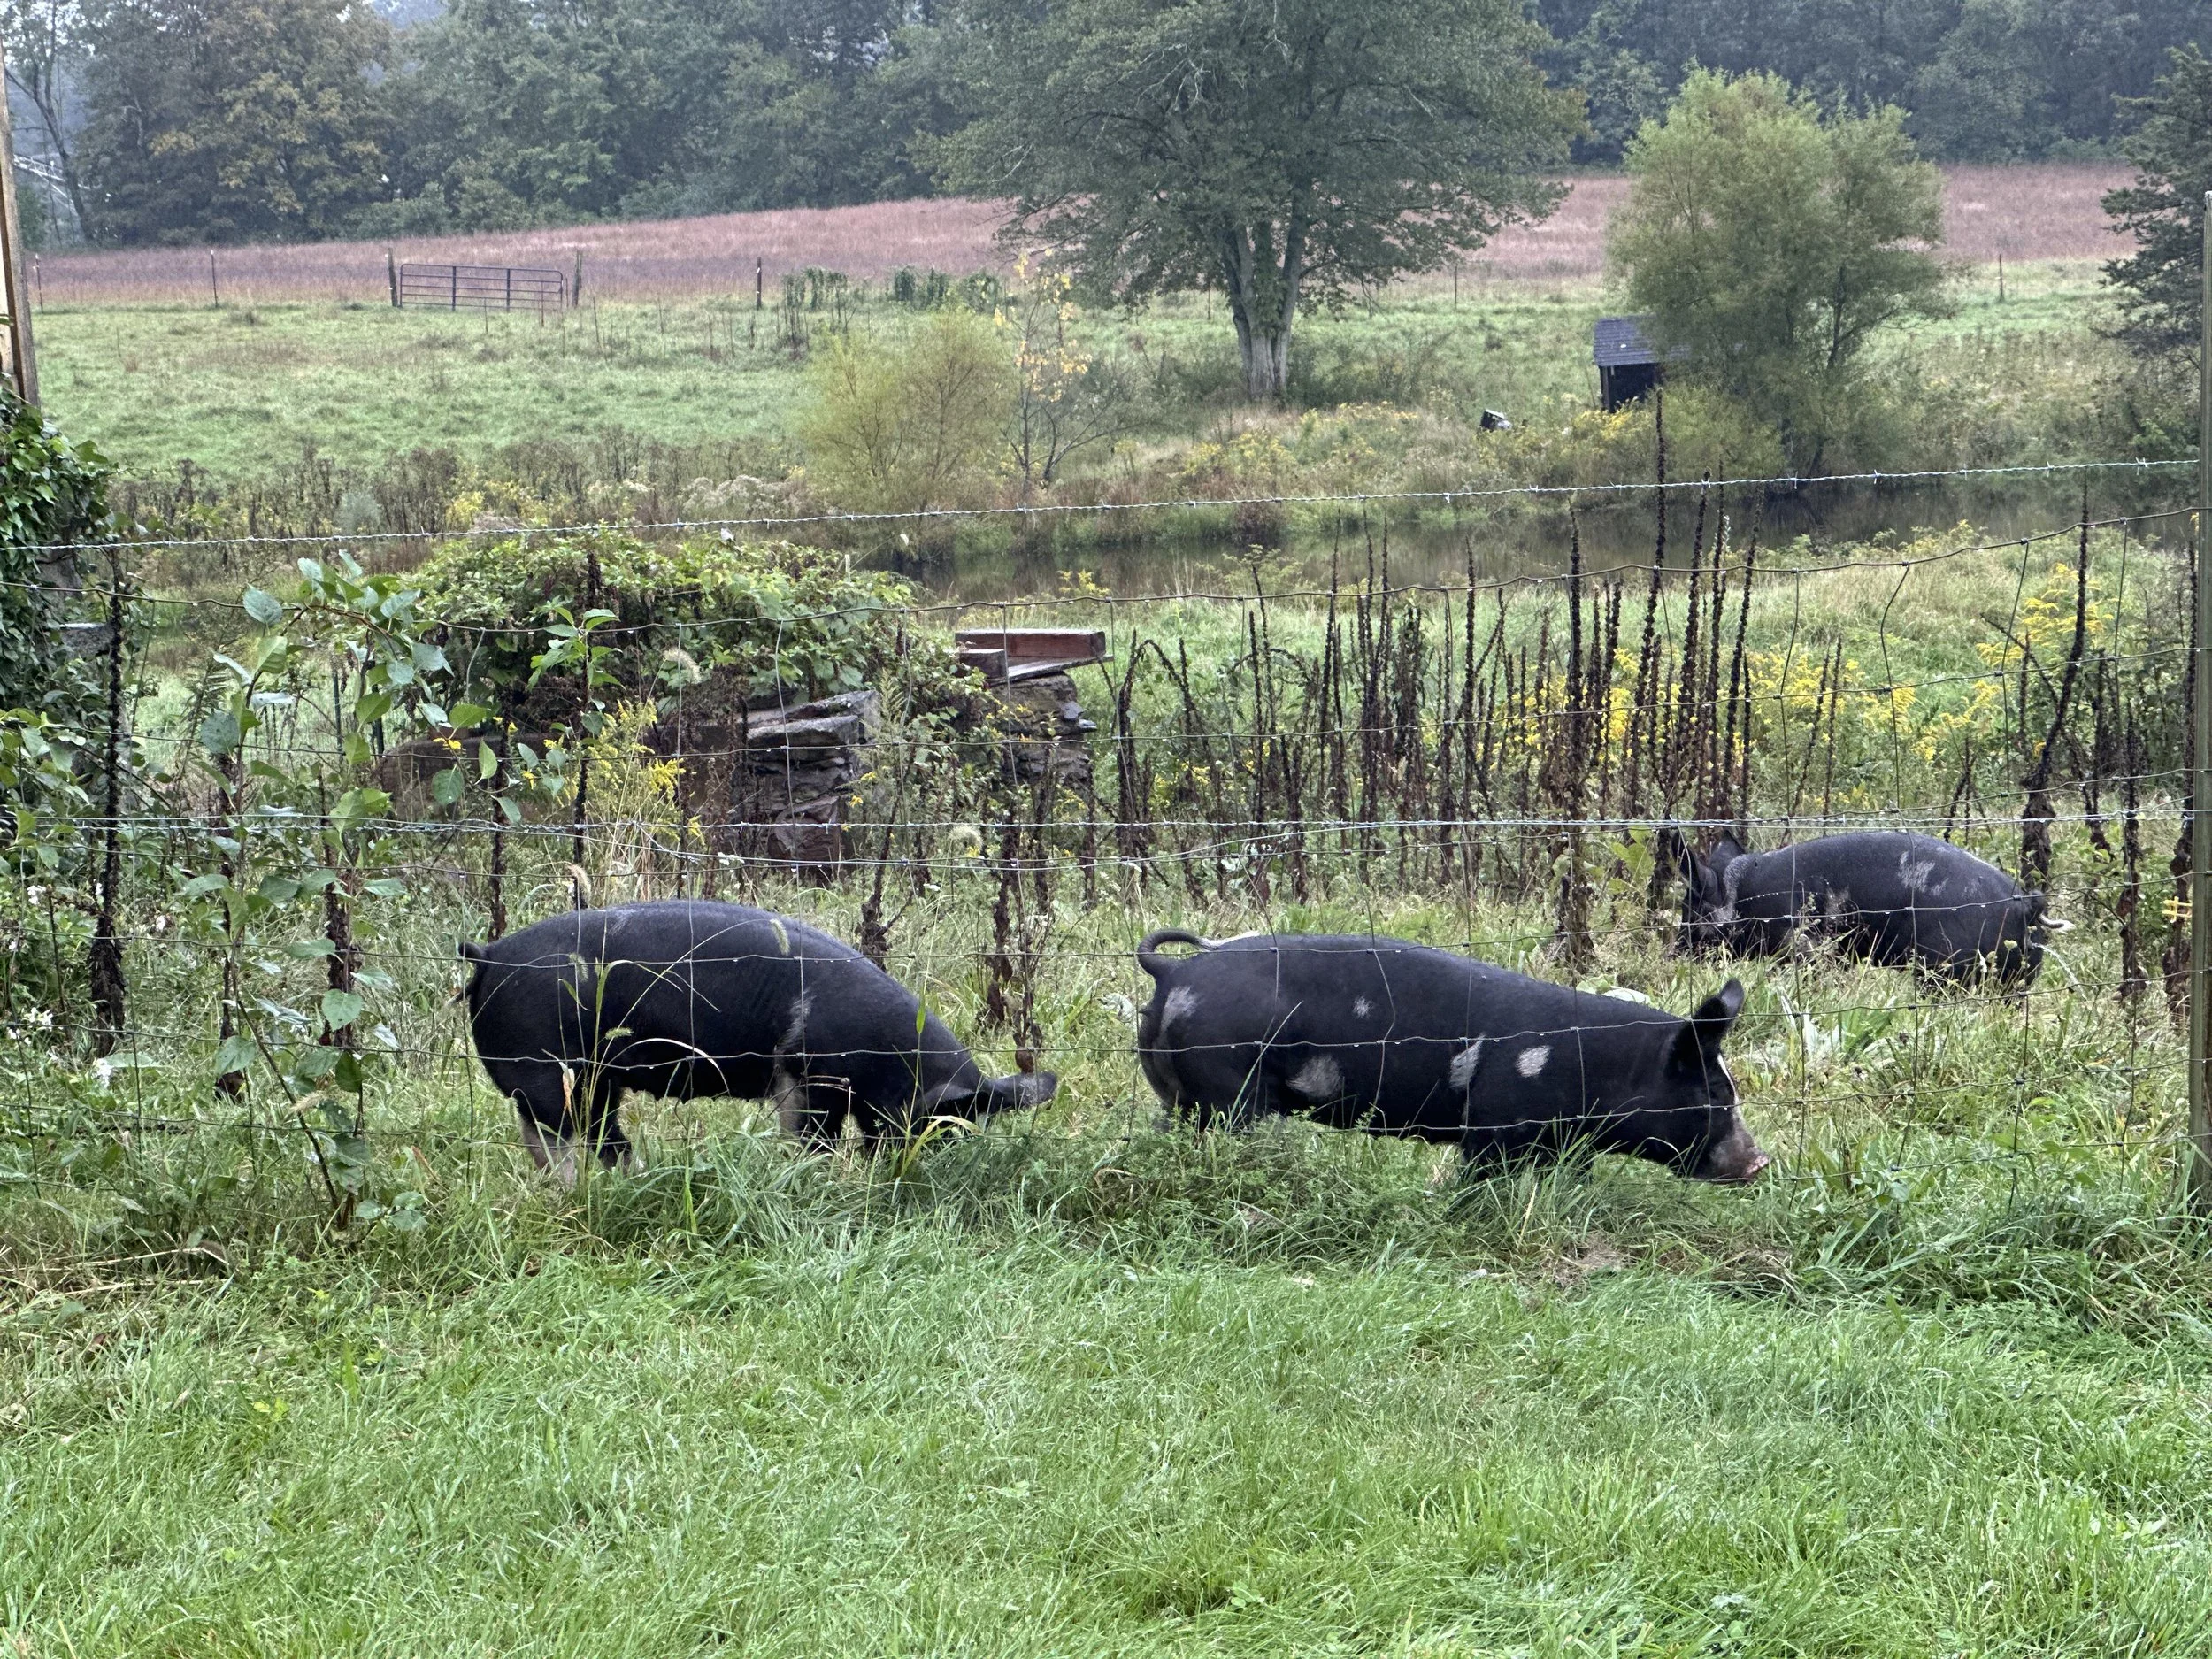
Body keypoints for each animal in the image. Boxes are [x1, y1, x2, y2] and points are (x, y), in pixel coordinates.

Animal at [459, 901, 1057, 1177]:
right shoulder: (803, 1076)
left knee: (567, 1138)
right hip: (543, 1070)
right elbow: (810, 1138)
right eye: (936, 1124)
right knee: (565, 1141)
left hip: (581, 1083)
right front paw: (811, 1174)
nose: (911, 1172)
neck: (889, 1055)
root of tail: (490, 955)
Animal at [1134, 930, 1766, 1182]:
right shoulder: (1493, 1127)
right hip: (1230, 1088)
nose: (1759, 1162)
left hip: (1176, 1092)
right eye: (1714, 1092)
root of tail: (1173, 974)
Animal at [1672, 830, 2048, 984]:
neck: (1743, 898)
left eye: (1690, 912)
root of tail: (2026, 905)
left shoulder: (1801, 948)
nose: (1673, 955)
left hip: (1945, 969)